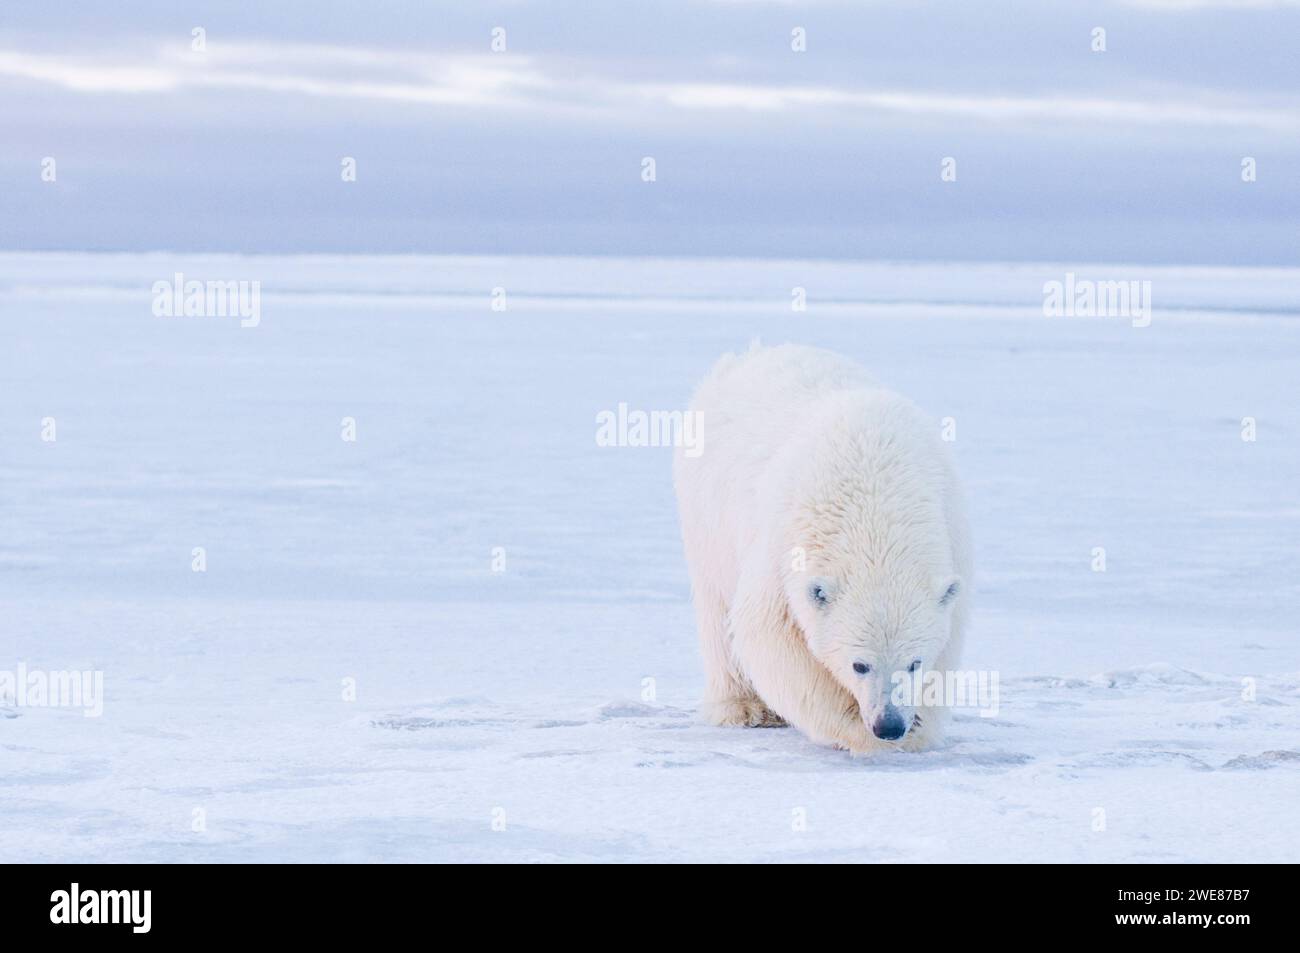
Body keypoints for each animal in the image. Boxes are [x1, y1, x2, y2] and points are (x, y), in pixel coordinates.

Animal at [673, 344, 972, 754]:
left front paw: (919, 725)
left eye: (914, 662)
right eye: (859, 664)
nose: (889, 724)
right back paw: (743, 707)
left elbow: (948, 637)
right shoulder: (784, 547)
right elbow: (769, 634)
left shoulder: (950, 533)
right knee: (717, 608)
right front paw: (855, 729)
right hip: (707, 515)